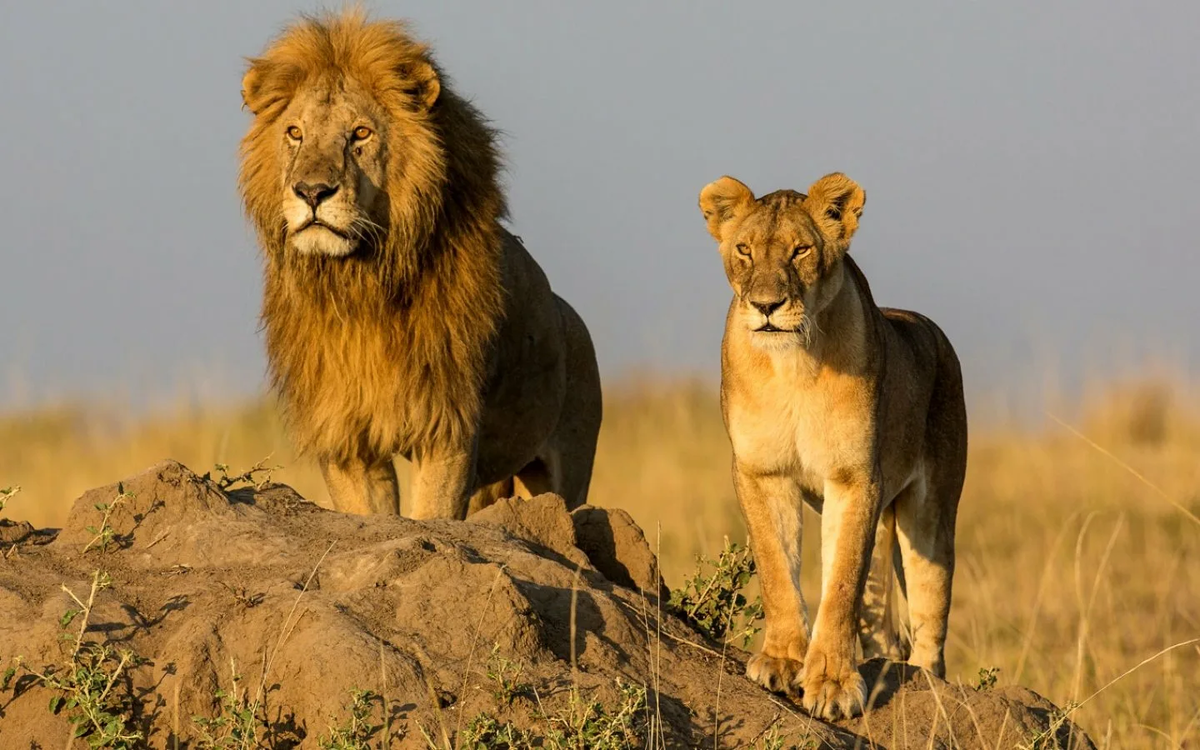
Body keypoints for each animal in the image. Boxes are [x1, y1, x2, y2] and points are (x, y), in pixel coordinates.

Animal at [240, 11, 604, 518]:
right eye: (295, 133)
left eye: (360, 134)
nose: (311, 192)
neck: (361, 280)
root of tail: (570, 315)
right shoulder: (345, 434)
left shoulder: (449, 426)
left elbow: (433, 513)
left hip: (566, 467)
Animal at [700, 172, 969, 715]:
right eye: (744, 250)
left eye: (801, 250)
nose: (765, 306)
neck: (792, 364)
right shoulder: (761, 471)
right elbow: (777, 569)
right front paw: (782, 660)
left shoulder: (854, 477)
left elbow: (840, 582)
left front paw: (831, 682)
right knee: (887, 633)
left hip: (930, 516)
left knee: (930, 623)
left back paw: (931, 691)